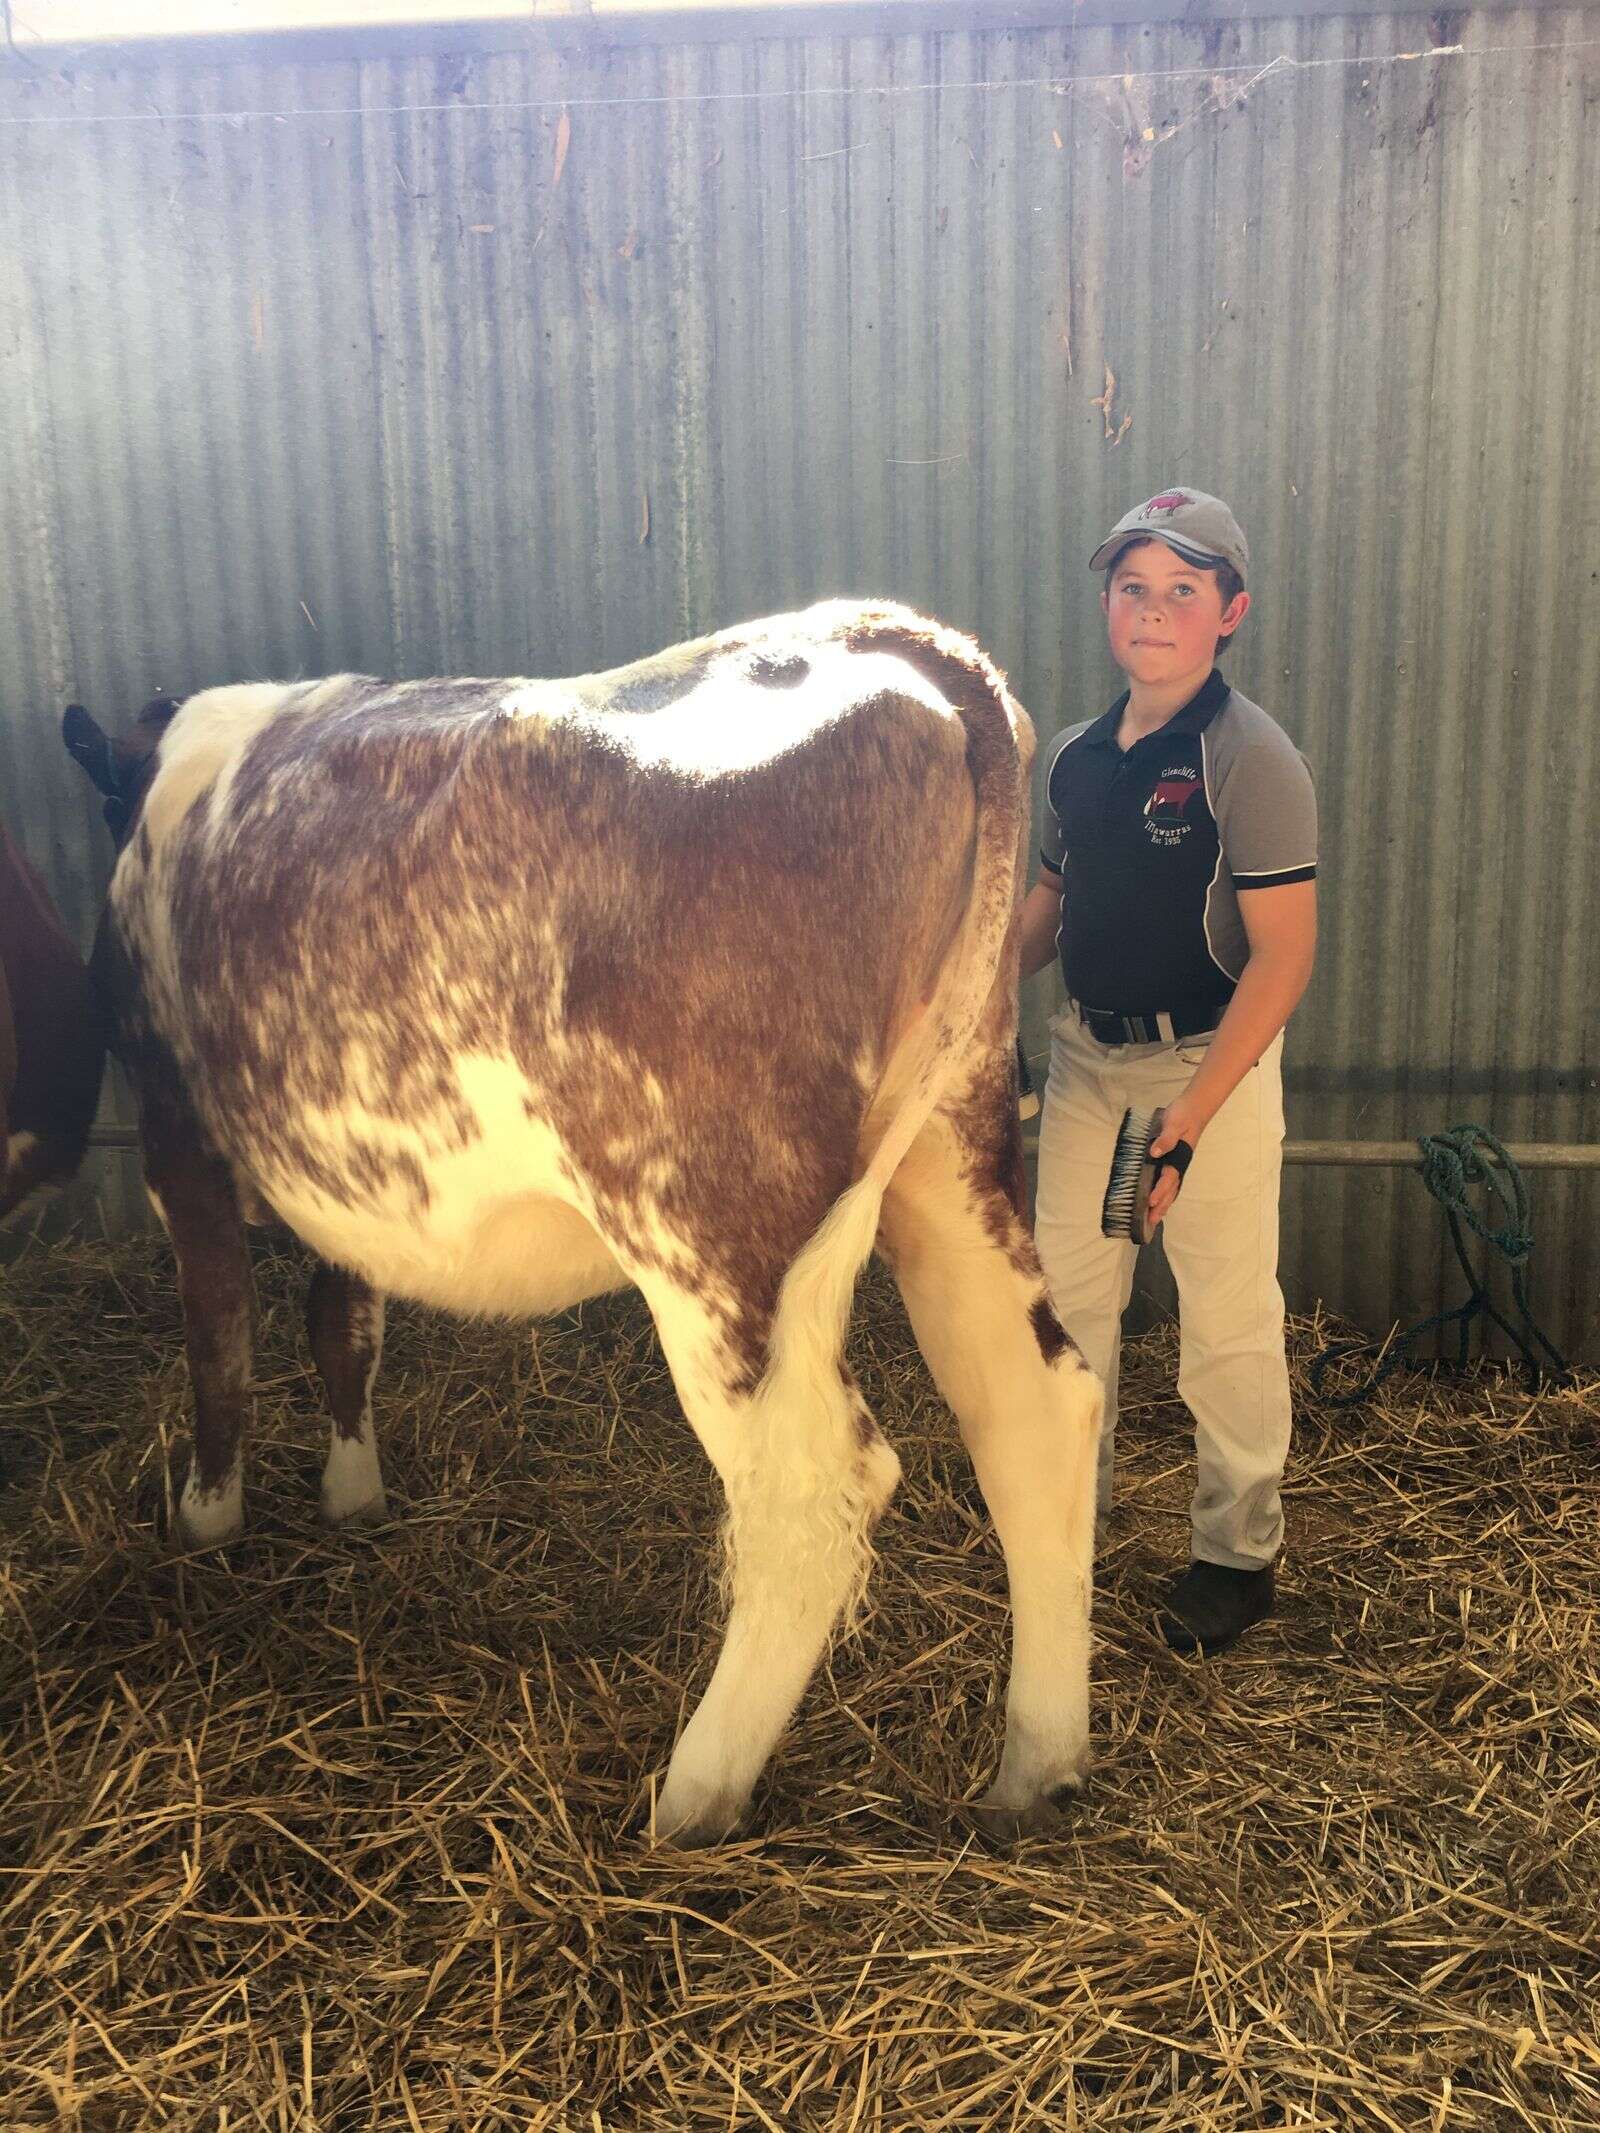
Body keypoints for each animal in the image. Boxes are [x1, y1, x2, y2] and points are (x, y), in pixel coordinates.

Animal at [61, 599, 1101, 1845]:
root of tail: (884, 637)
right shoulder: (344, 1181)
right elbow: (341, 1320)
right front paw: (352, 1497)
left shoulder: (177, 1132)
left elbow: (218, 1341)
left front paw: (205, 1522)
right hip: (953, 1152)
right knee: (1033, 1411)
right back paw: (1035, 1768)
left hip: (706, 1229)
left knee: (813, 1491)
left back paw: (692, 1798)